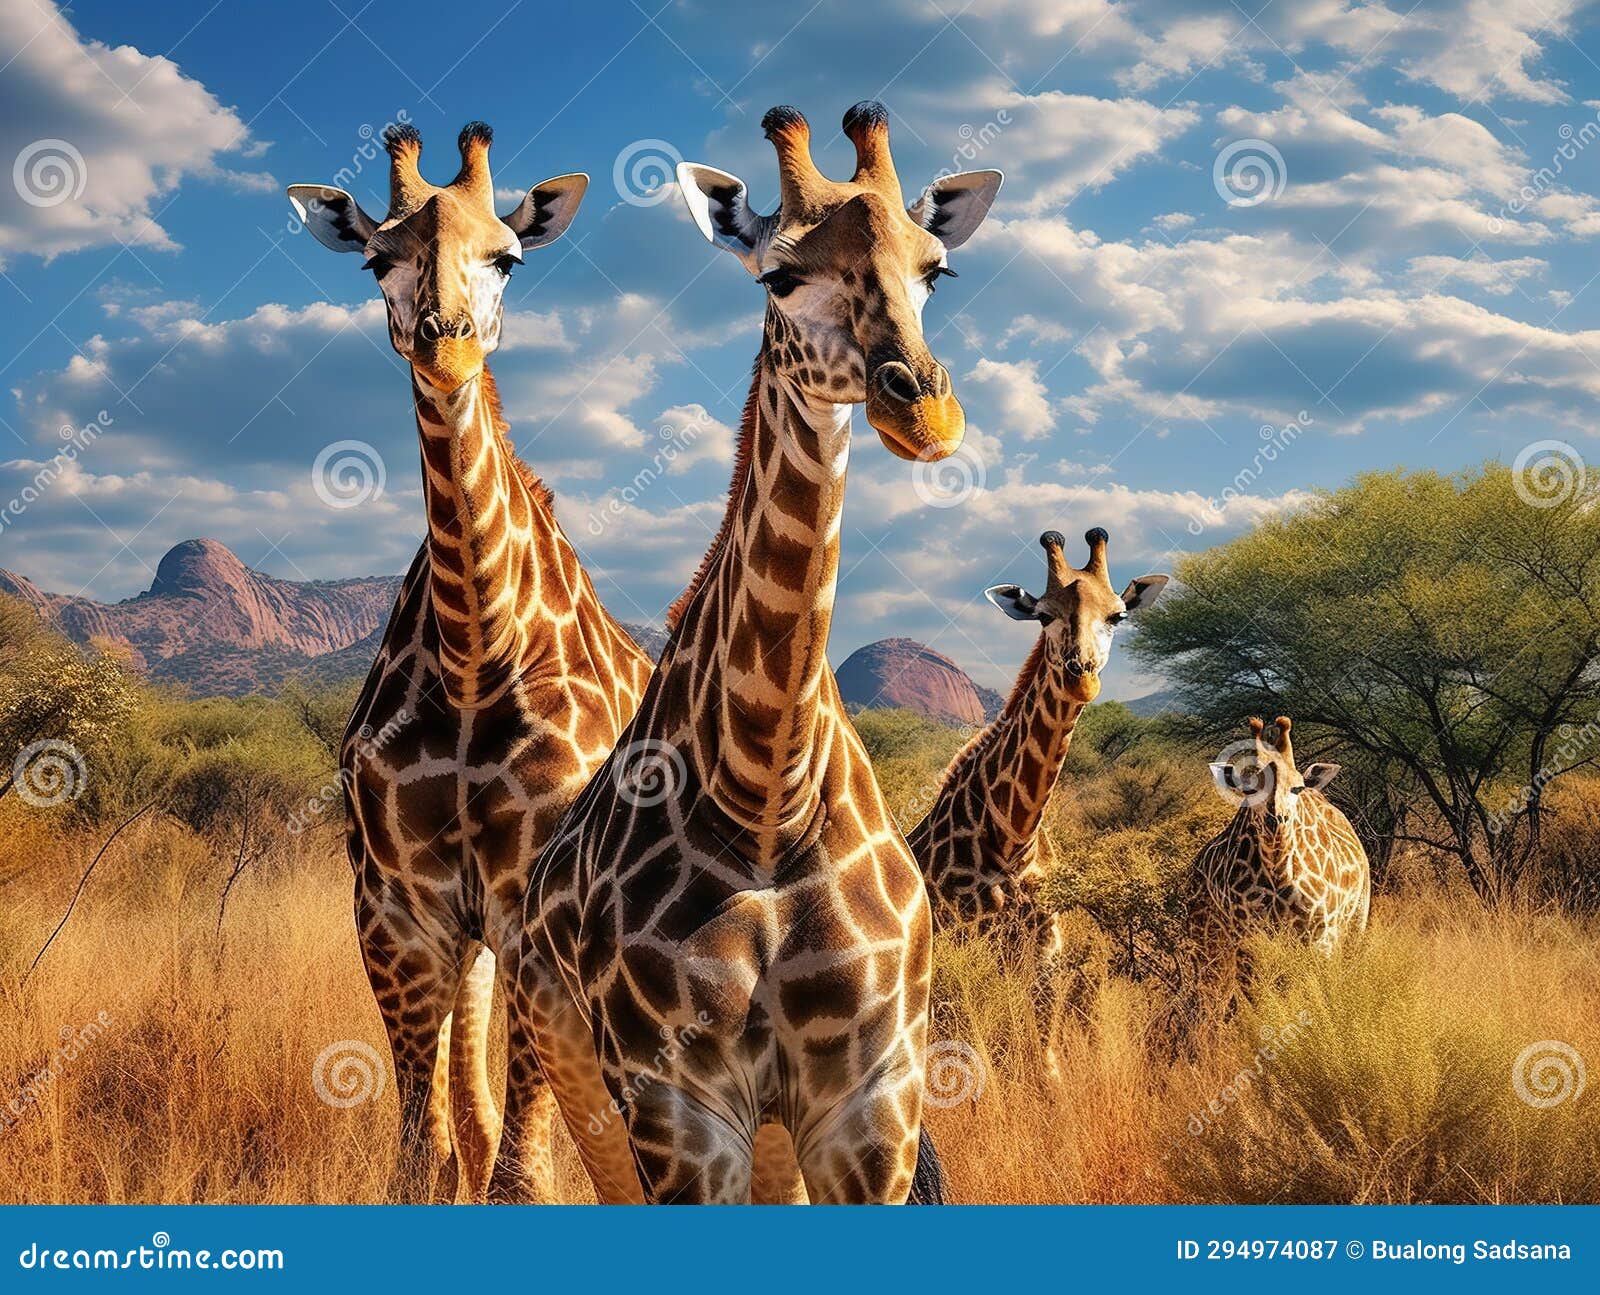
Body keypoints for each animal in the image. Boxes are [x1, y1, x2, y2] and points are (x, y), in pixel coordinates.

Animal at [287, 123, 654, 1204]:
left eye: (509, 256)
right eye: (378, 257)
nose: (444, 338)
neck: (471, 652)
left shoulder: (535, 907)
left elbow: (524, 1175)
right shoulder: (396, 907)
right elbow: (428, 1160)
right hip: (470, 939)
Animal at [511, 101, 1002, 1204]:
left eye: (937, 269)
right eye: (777, 276)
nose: (924, 411)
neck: (768, 794)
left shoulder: (872, 1100)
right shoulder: (677, 1108)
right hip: (579, 1083)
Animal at [1187, 716, 1370, 981]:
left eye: (1297, 788)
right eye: (1249, 788)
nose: (1276, 820)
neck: (1277, 866)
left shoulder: (1319, 937)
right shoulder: (1247, 939)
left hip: (1355, 921)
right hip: (1206, 934)